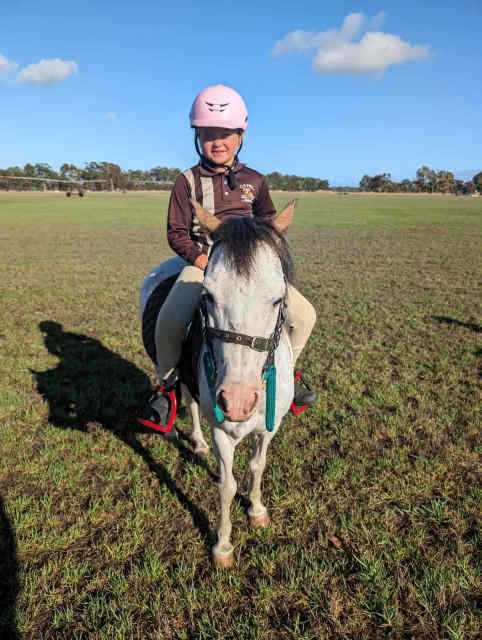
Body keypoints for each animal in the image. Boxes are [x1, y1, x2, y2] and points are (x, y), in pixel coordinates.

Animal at [182, 200, 296, 568]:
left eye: (278, 298)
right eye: (207, 295)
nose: (237, 402)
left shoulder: (269, 427)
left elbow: (257, 465)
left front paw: (257, 511)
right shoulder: (221, 431)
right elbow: (227, 485)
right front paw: (222, 546)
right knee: (188, 401)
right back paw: (197, 443)